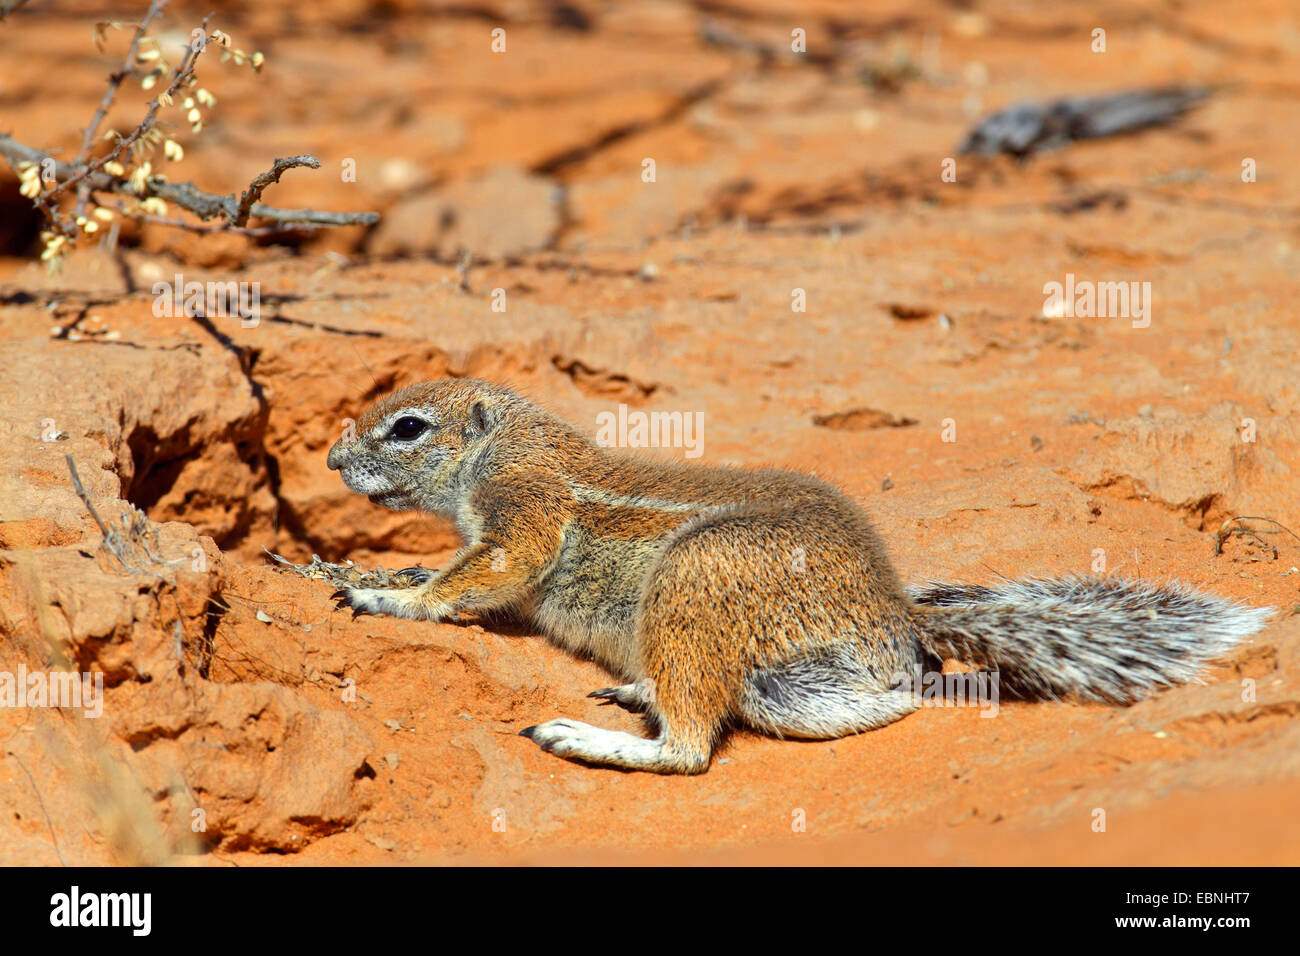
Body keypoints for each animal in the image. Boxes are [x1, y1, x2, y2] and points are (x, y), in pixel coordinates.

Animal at [326, 378, 1271, 774]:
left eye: (407, 427)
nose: (333, 461)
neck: (507, 441)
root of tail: (896, 616)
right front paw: (390, 567)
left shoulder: (521, 509)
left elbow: (486, 571)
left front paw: (385, 593)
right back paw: (637, 691)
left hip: (696, 574)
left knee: (691, 752)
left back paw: (592, 736)